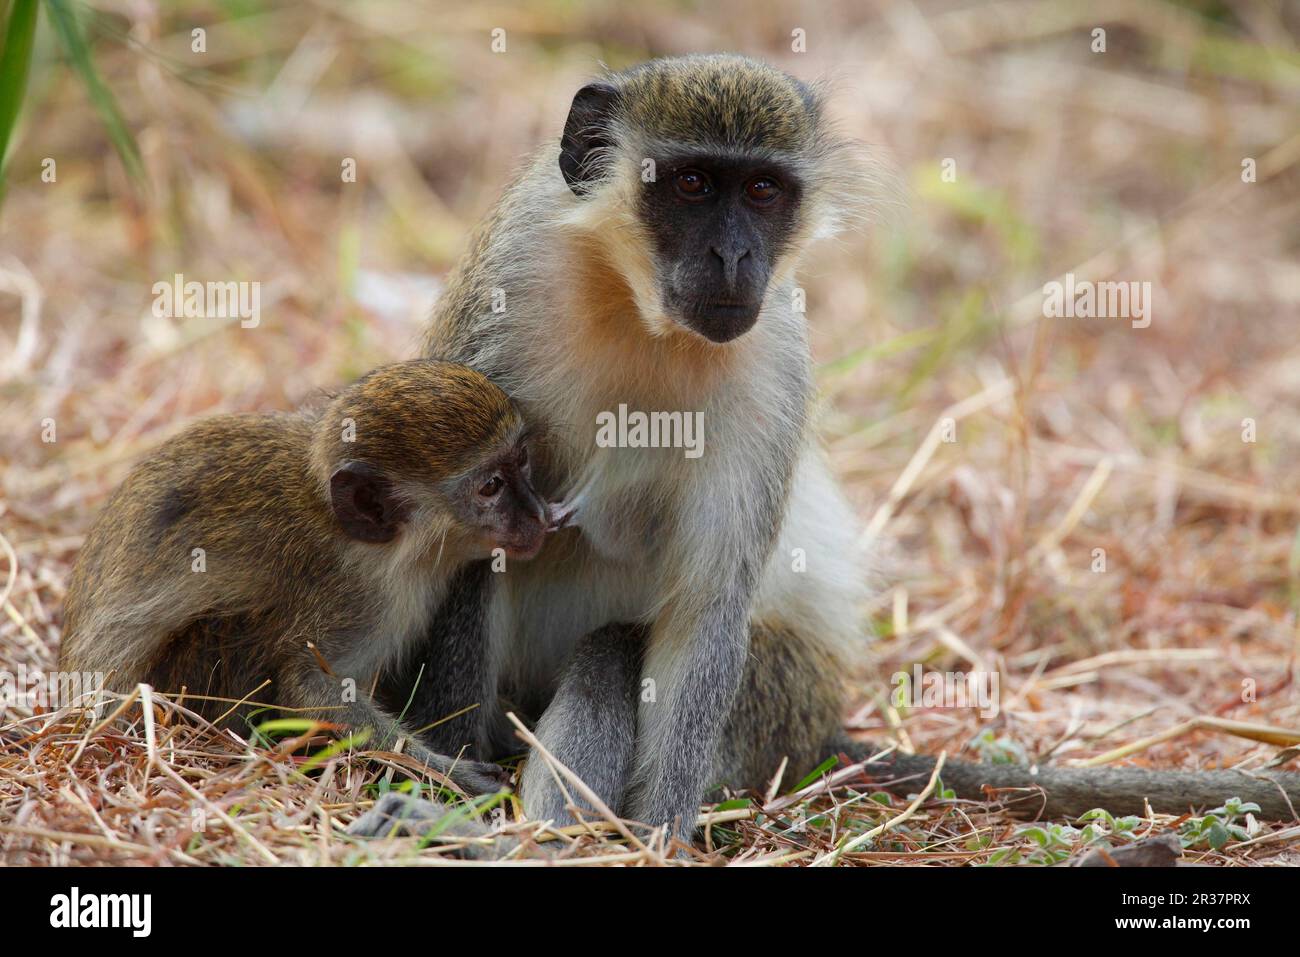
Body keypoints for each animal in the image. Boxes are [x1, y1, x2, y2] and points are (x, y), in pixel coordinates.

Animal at [60, 359, 555, 797]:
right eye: (490, 487)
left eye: (523, 461)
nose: (540, 514)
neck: (364, 541)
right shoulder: (356, 600)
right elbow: (309, 687)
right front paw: (447, 772)